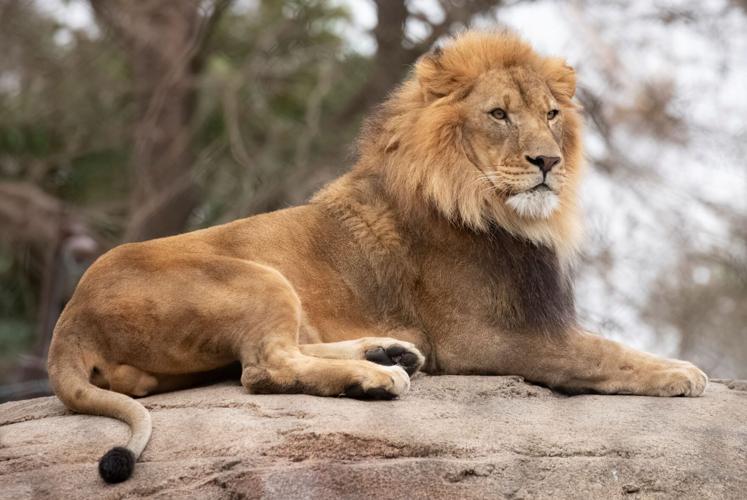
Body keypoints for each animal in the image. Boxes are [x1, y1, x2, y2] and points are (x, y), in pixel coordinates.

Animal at [47, 30, 708, 484]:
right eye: (498, 114)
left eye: (550, 114)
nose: (549, 161)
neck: (490, 203)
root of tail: (69, 321)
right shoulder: (489, 338)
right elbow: (600, 354)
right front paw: (679, 371)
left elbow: (603, 349)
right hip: (256, 275)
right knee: (263, 368)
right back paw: (377, 376)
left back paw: (389, 351)